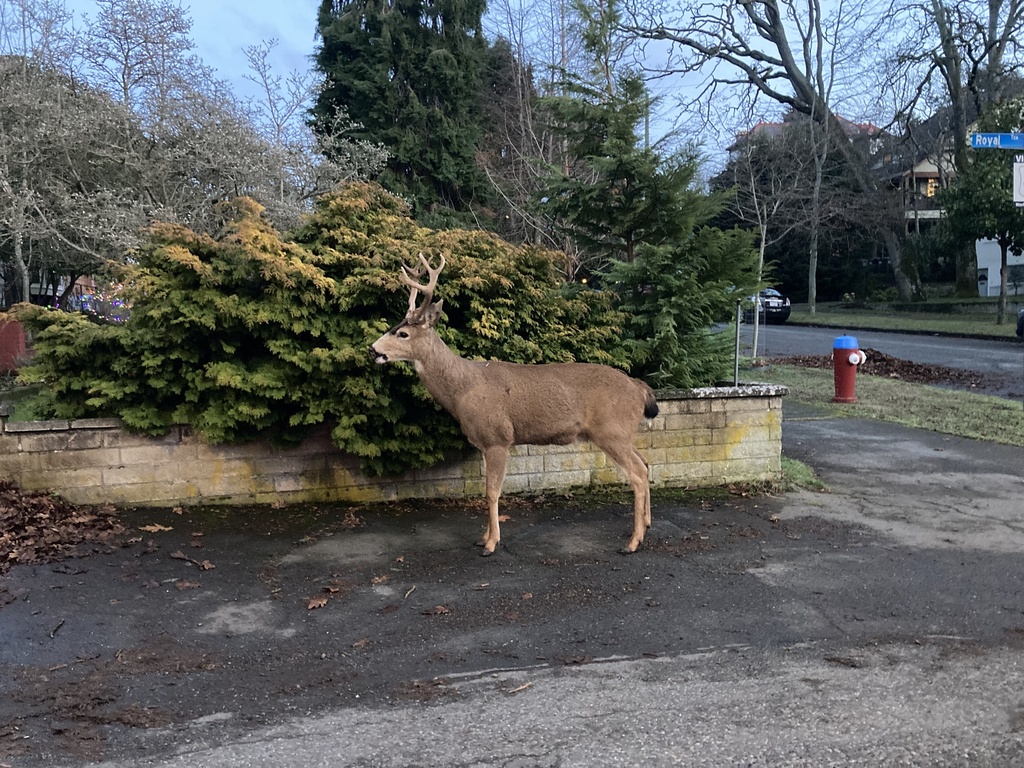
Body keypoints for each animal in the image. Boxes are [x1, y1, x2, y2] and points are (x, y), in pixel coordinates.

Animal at [370, 253, 659, 556]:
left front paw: (490, 544)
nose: (373, 350)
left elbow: (492, 492)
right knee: (646, 462)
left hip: (611, 431)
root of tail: (639, 388)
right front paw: (483, 537)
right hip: (623, 433)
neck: (464, 390)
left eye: (403, 334)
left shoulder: (498, 437)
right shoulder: (483, 443)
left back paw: (632, 542)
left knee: (638, 473)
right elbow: (487, 489)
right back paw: (647, 525)